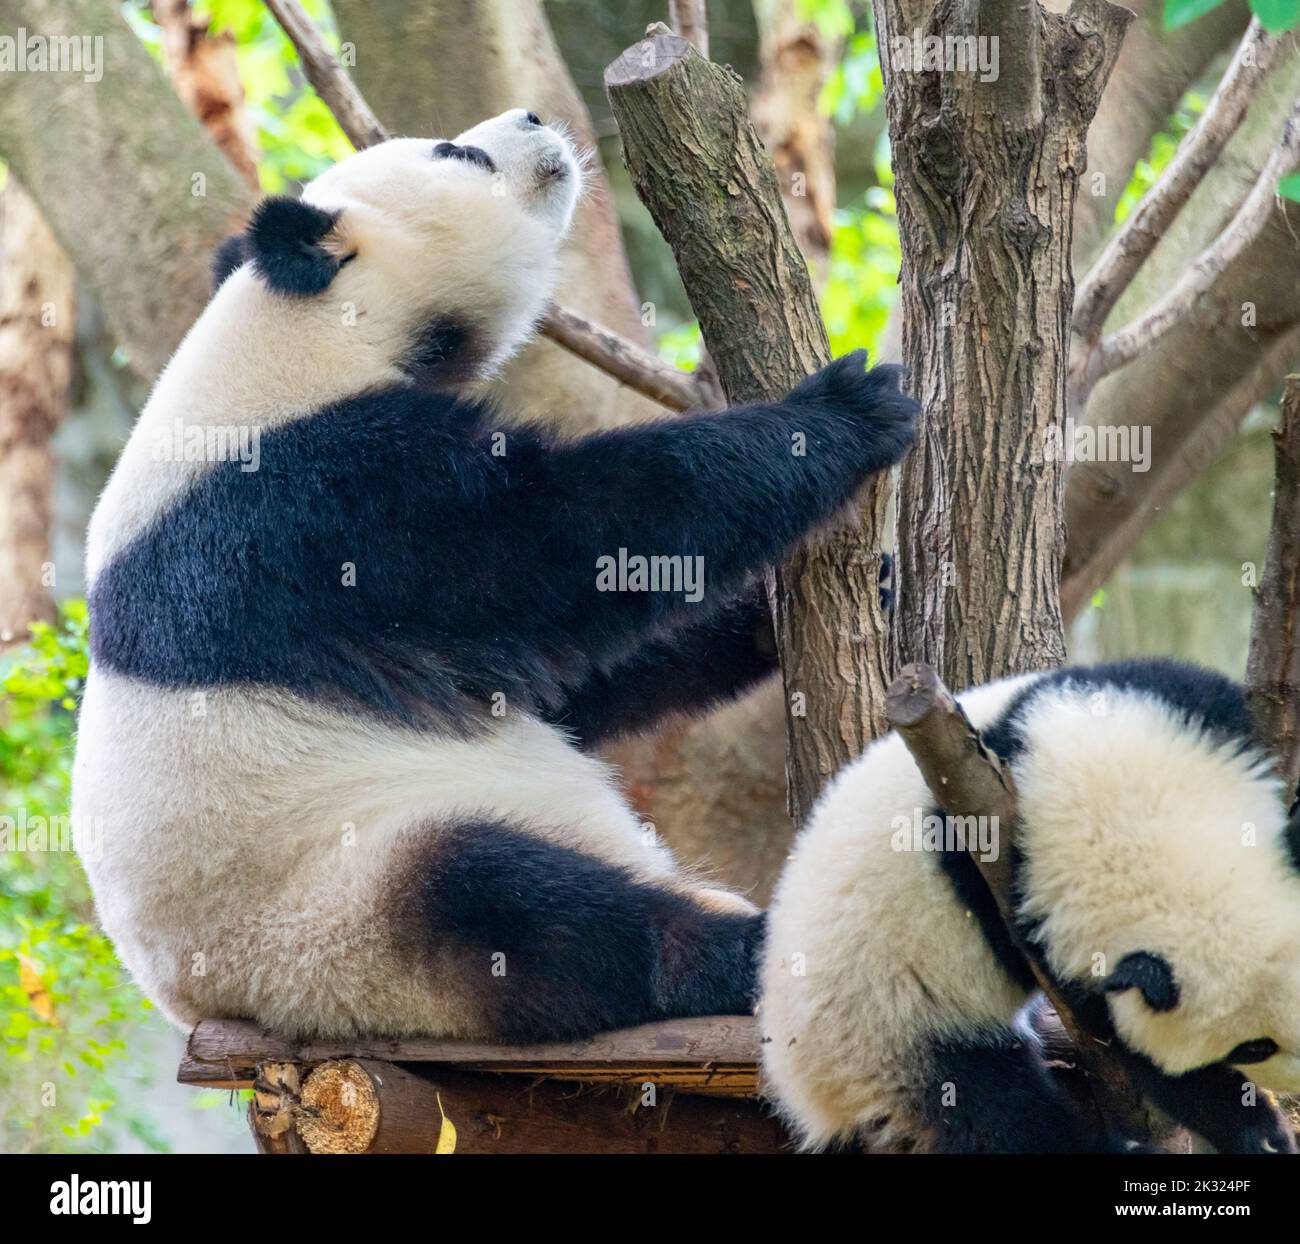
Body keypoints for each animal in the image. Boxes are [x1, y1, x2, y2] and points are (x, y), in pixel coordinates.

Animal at [71, 109, 919, 1043]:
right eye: (460, 155)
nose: (537, 118)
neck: (290, 333)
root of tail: (210, 1008)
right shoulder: (305, 510)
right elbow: (558, 543)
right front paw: (842, 412)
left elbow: (569, 682)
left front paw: (804, 609)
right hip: (339, 903)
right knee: (518, 904)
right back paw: (735, 947)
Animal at [760, 658, 1300, 1154]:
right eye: (1254, 1047)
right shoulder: (1017, 907)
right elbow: (1136, 1054)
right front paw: (1257, 1130)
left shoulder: (1167, 703)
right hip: (889, 1026)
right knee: (997, 1112)